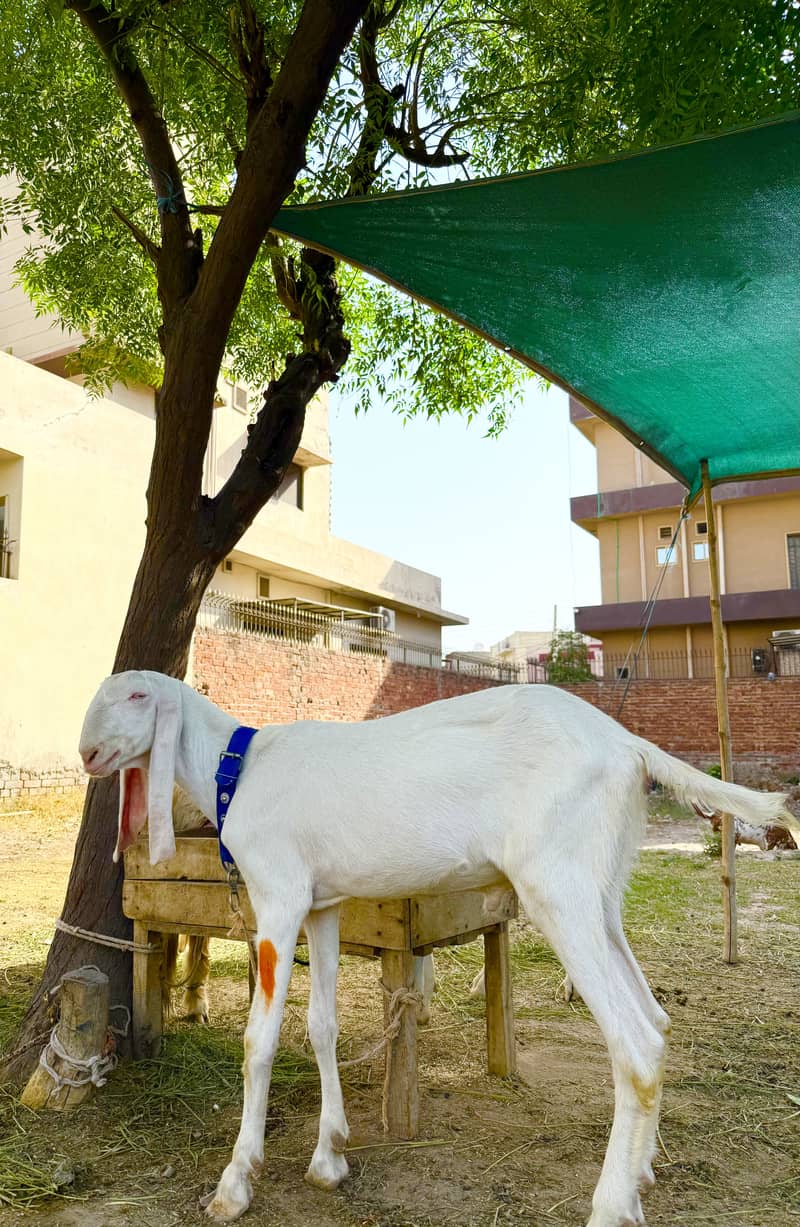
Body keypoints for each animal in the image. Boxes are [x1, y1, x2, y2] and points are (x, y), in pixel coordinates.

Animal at [79, 670, 799, 1227]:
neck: (237, 769)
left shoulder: (278, 897)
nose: (88, 753)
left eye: (137, 695)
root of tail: (626, 743)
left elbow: (260, 1040)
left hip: (556, 886)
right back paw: (641, 1174)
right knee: (656, 1018)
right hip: (602, 891)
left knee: (637, 1042)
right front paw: (329, 1155)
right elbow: (321, 1025)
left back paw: (610, 1205)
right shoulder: (323, 905)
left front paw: (235, 1182)